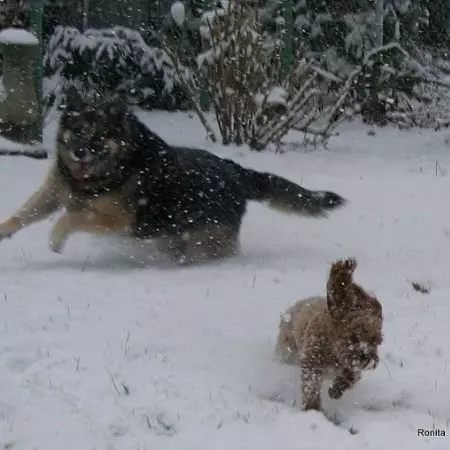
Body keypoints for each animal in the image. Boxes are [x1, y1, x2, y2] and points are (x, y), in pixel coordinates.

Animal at [0, 89, 346, 262]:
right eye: (78, 130)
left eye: (100, 136)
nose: (80, 153)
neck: (118, 163)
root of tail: (236, 171)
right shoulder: (55, 191)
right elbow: (24, 213)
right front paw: (3, 230)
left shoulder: (118, 220)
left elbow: (71, 218)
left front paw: (56, 239)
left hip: (205, 238)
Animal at [274, 256, 384, 412]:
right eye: (352, 337)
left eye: (376, 341)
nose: (368, 360)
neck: (334, 352)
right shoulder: (312, 362)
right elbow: (311, 385)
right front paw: (313, 408)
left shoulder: (352, 367)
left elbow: (351, 376)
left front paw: (336, 389)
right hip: (287, 351)